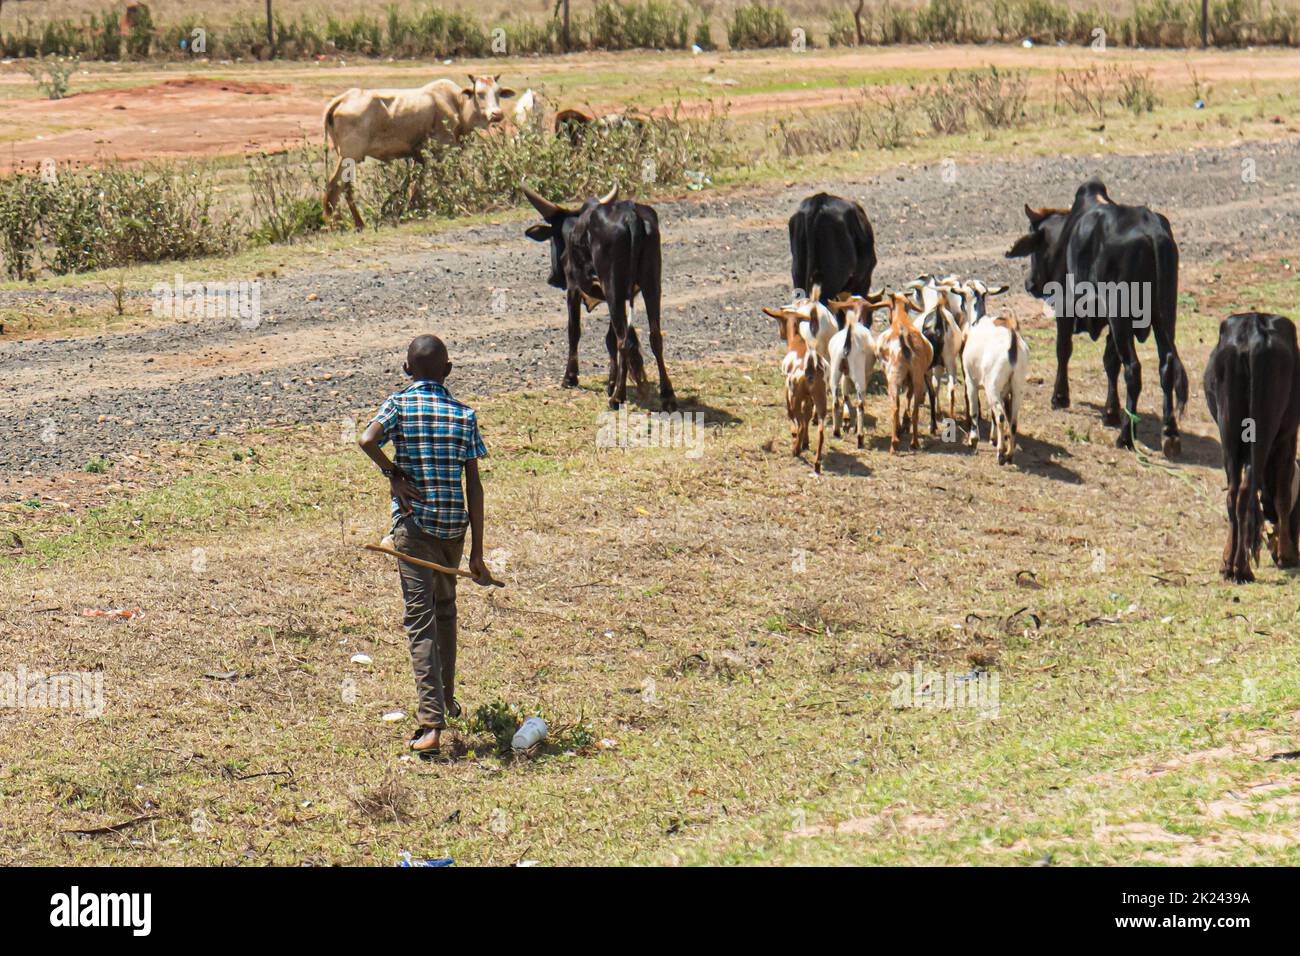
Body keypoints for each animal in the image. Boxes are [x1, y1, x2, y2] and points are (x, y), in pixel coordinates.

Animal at [323, 74, 516, 230]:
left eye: (498, 92)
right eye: (480, 93)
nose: (497, 114)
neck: (457, 104)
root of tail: (343, 98)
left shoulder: (419, 156)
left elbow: (415, 186)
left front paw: (411, 209)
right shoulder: (444, 150)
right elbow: (449, 179)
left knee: (345, 187)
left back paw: (357, 222)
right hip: (349, 156)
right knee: (335, 185)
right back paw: (335, 224)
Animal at [521, 181, 676, 412]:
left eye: (553, 238)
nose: (553, 278)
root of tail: (631, 215)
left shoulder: (574, 288)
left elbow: (574, 331)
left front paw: (570, 378)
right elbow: (609, 339)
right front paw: (611, 383)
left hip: (613, 287)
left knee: (624, 342)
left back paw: (617, 398)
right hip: (651, 285)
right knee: (654, 337)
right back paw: (667, 395)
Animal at [1005, 178, 1188, 457]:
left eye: (1035, 249)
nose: (1030, 283)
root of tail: (1154, 234)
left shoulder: (1065, 306)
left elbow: (1064, 349)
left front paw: (1060, 397)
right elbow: (1110, 362)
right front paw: (1110, 411)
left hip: (1121, 315)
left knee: (1133, 369)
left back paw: (1126, 437)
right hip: (1164, 315)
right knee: (1166, 364)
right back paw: (1170, 434)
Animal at [1203, 312, 1300, 583]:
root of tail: (1254, 326)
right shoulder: (1288, 436)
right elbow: (1283, 495)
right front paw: (1287, 555)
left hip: (1229, 431)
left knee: (1235, 493)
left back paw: (1231, 565)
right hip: (1264, 429)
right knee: (1247, 492)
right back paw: (1243, 568)